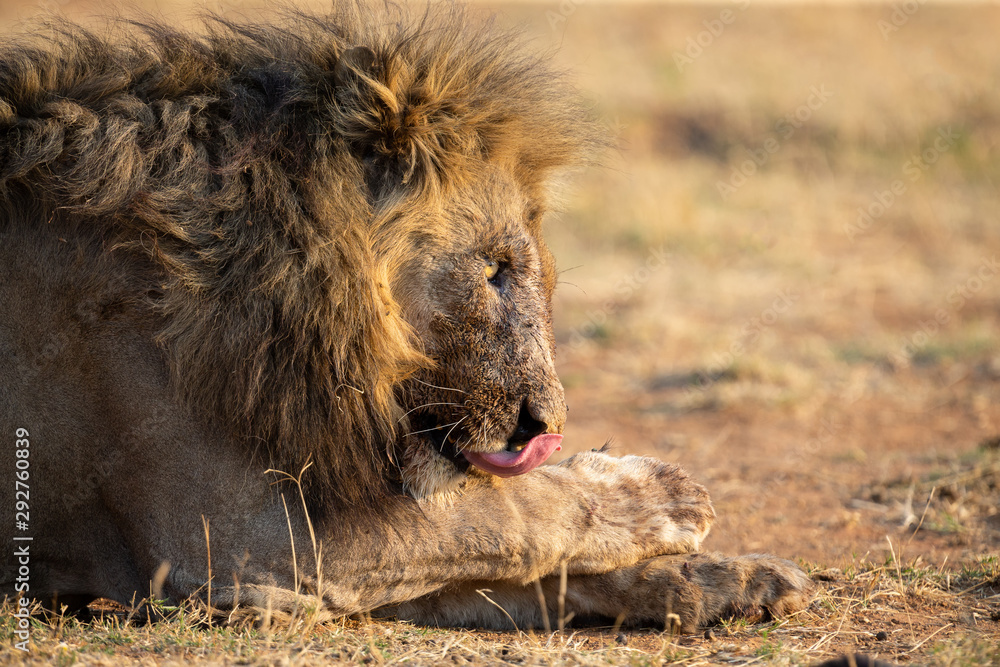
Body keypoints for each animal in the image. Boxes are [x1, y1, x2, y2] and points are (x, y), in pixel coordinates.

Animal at [0, 3, 815, 631]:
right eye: (493, 270)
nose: (546, 424)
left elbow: (500, 555)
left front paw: (728, 579)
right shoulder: (238, 545)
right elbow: (515, 516)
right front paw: (666, 493)